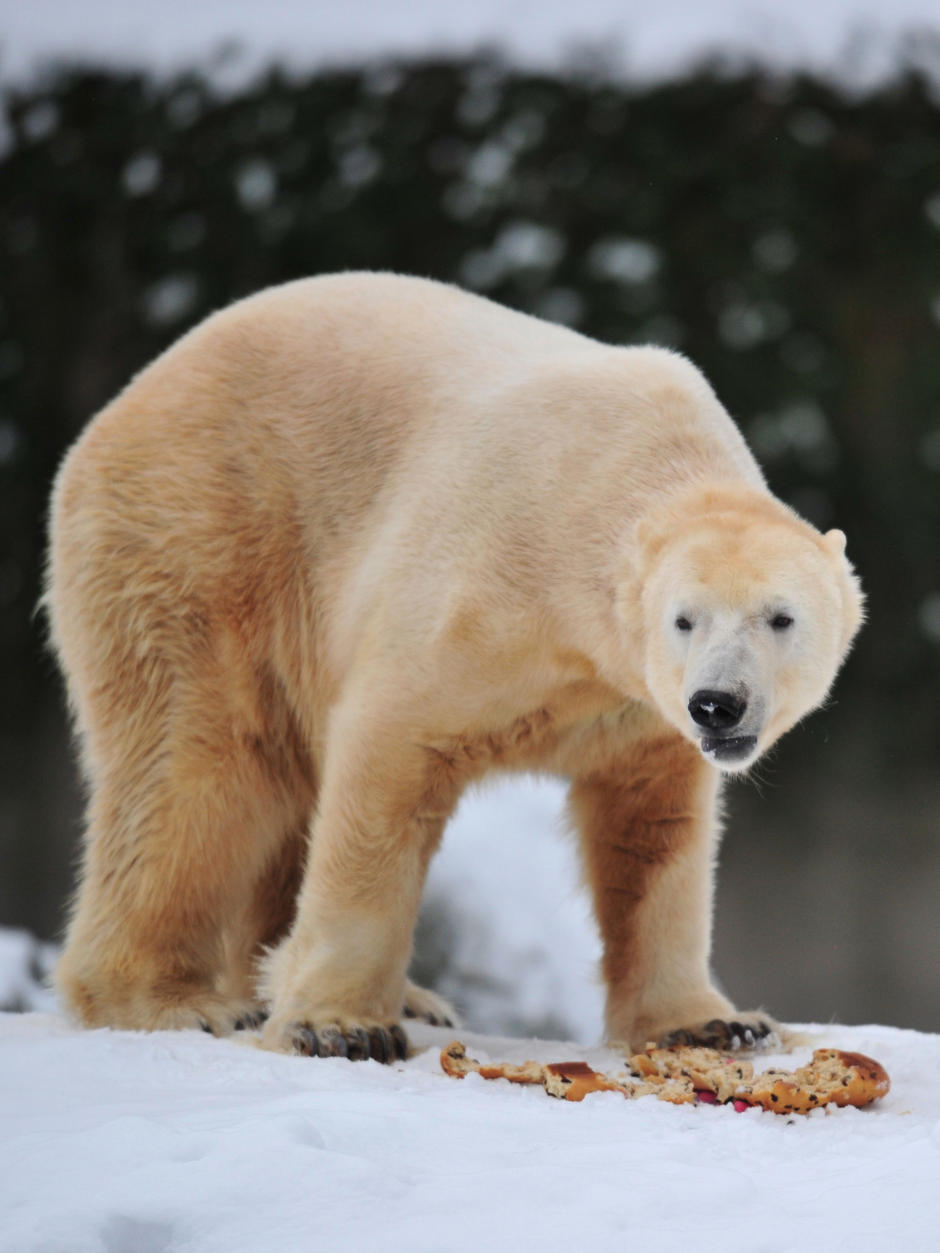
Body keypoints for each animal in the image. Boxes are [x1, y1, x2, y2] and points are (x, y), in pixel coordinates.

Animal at [45, 271, 864, 1061]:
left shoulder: (637, 710)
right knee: (195, 768)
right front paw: (339, 1026)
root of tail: (125, 403)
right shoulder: (485, 590)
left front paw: (712, 1023)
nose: (717, 704)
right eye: (684, 619)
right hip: (207, 539)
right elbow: (389, 755)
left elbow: (652, 831)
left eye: (780, 617)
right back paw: (175, 1000)